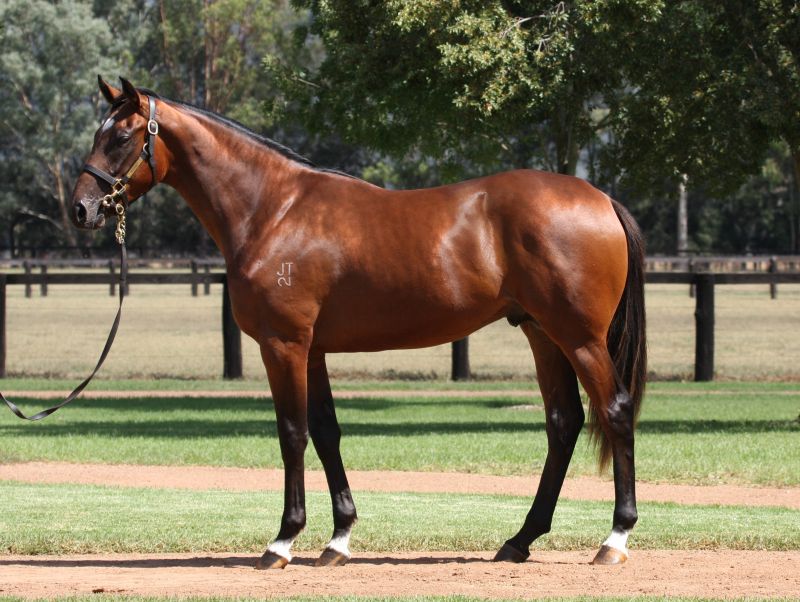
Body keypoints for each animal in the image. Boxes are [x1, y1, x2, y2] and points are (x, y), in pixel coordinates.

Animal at [71, 77, 646, 569]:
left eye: (121, 136)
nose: (81, 209)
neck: (273, 209)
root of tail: (601, 199)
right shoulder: (313, 349)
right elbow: (327, 431)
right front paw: (338, 539)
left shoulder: (283, 345)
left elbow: (292, 432)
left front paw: (283, 541)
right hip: (541, 333)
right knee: (563, 422)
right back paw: (520, 539)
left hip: (580, 337)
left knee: (615, 411)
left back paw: (614, 539)